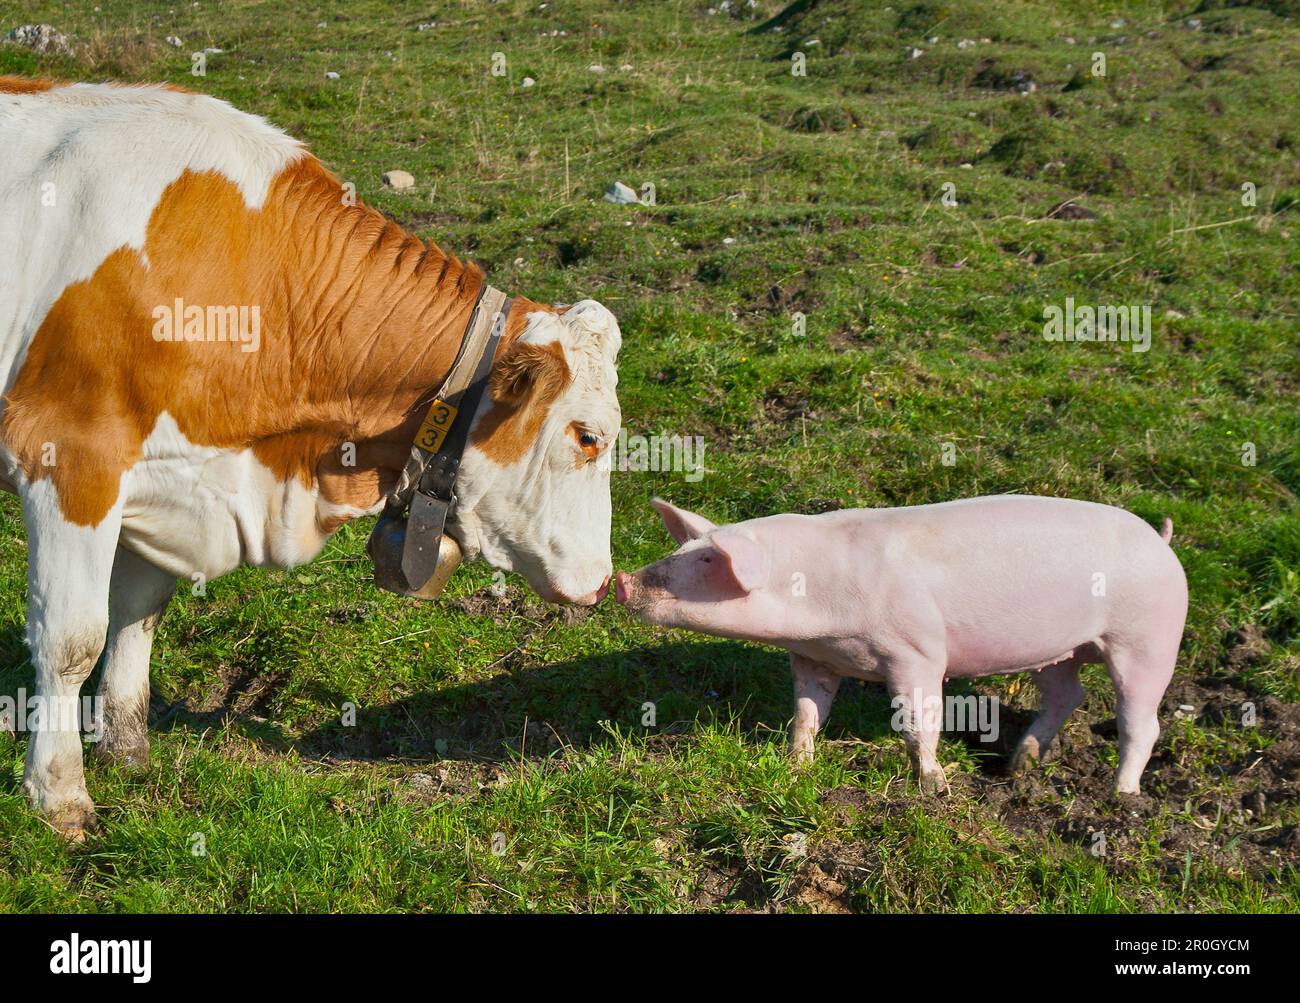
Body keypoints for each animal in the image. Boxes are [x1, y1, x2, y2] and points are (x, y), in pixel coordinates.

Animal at [0, 77, 623, 838]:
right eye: (588, 435)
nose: (602, 582)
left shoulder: (168, 475)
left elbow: (138, 613)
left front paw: (127, 750)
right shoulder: (71, 456)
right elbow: (71, 638)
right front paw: (58, 793)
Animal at [615, 495, 1188, 795]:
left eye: (708, 560)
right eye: (685, 549)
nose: (621, 580)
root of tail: (1161, 542)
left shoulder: (916, 653)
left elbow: (919, 723)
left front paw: (933, 788)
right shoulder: (814, 657)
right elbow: (806, 713)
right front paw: (796, 765)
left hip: (1149, 637)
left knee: (1141, 721)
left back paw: (1122, 796)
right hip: (1058, 651)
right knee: (1069, 695)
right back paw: (1018, 766)